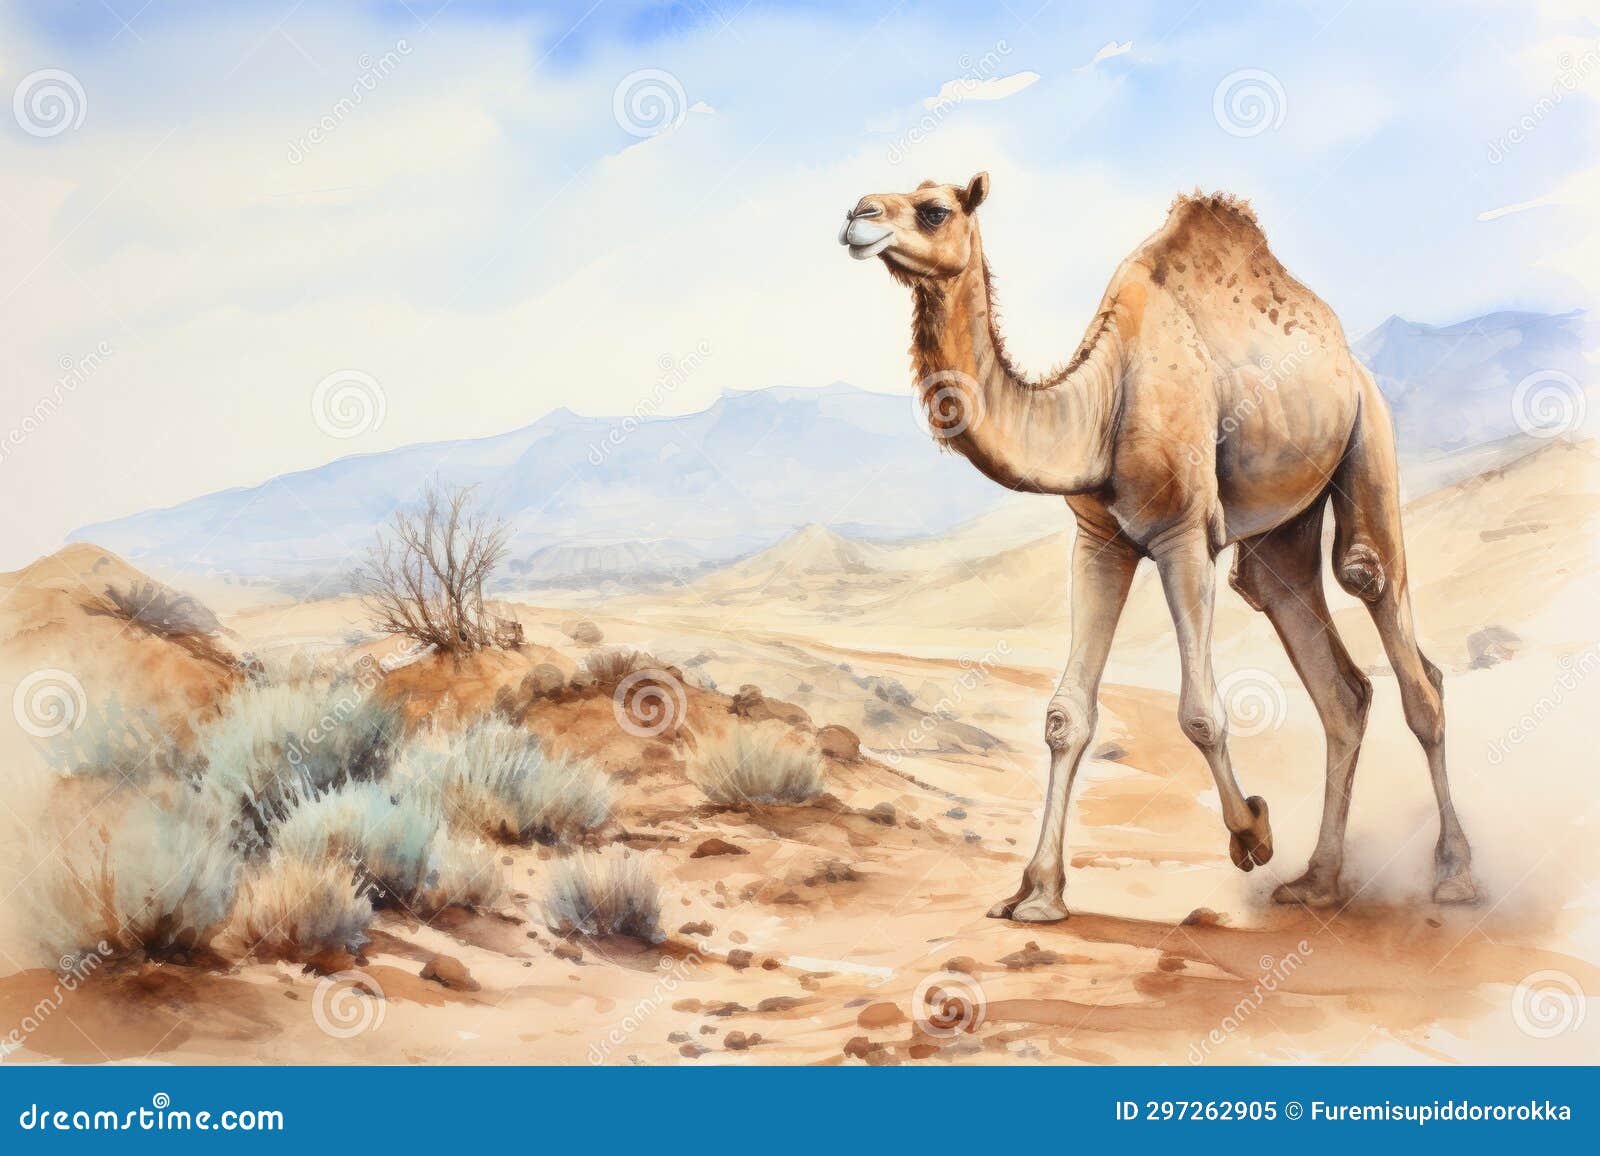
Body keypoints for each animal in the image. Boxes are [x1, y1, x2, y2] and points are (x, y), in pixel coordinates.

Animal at [839, 173, 1476, 922]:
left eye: (935, 209)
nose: (857, 216)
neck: (1101, 402)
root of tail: (1350, 364)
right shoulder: (1099, 541)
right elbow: (1066, 715)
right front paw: (1037, 892)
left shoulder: (1184, 535)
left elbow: (1201, 713)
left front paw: (1254, 833)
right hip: (1281, 531)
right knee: (1325, 665)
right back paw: (1316, 882)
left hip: (1368, 433)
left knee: (1387, 615)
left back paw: (1455, 875)